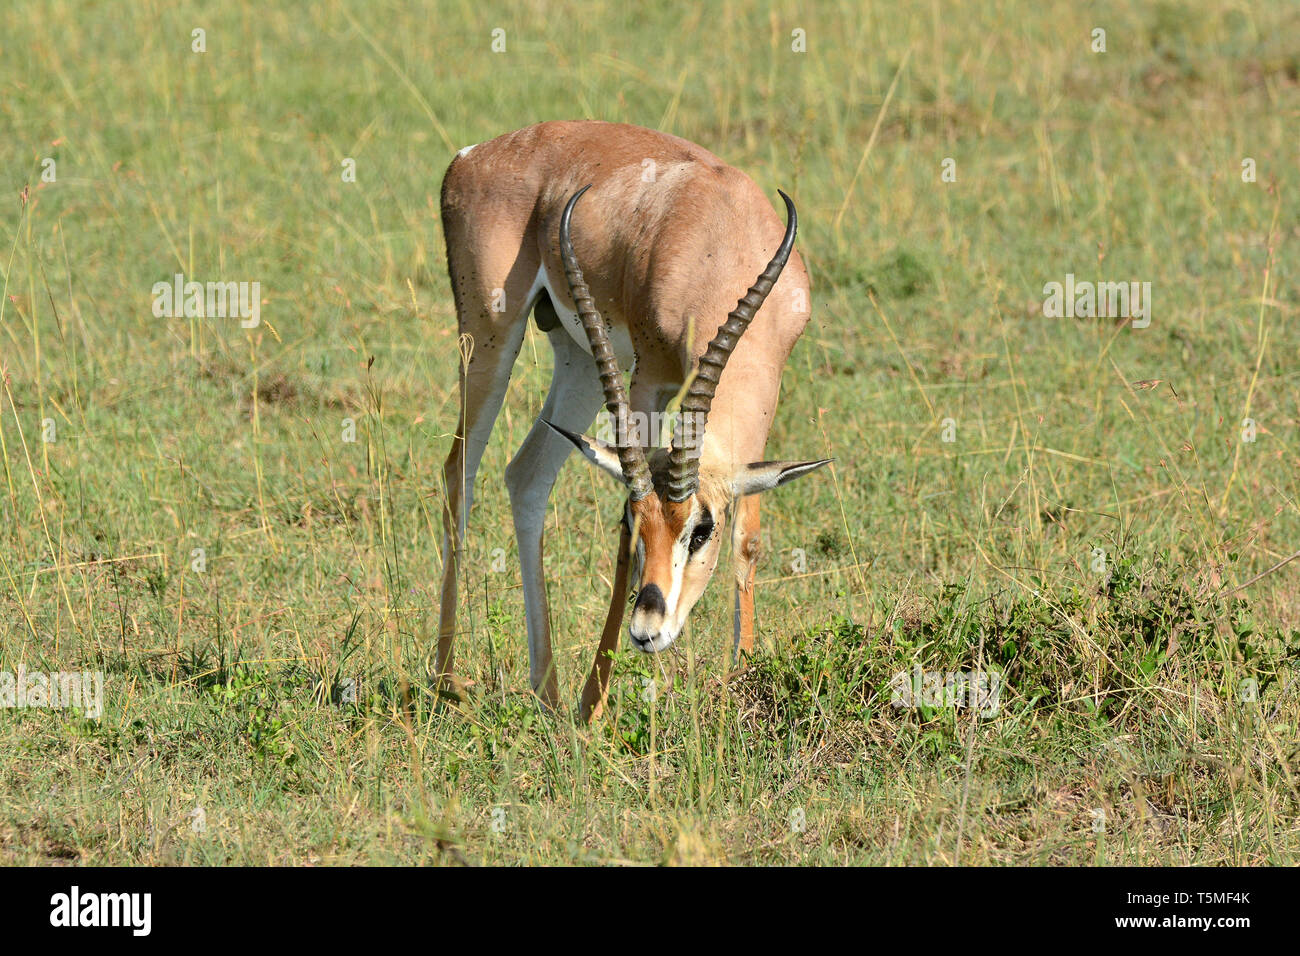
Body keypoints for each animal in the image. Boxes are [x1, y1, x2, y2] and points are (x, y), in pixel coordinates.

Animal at [437, 121, 830, 720]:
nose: (647, 632)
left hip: (576, 359)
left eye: (701, 530)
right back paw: (447, 682)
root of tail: (471, 154)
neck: (721, 239)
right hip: (489, 336)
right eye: (636, 519)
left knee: (526, 475)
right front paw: (592, 708)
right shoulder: (649, 378)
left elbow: (749, 539)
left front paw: (741, 679)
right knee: (459, 471)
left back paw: (546, 692)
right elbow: (624, 539)